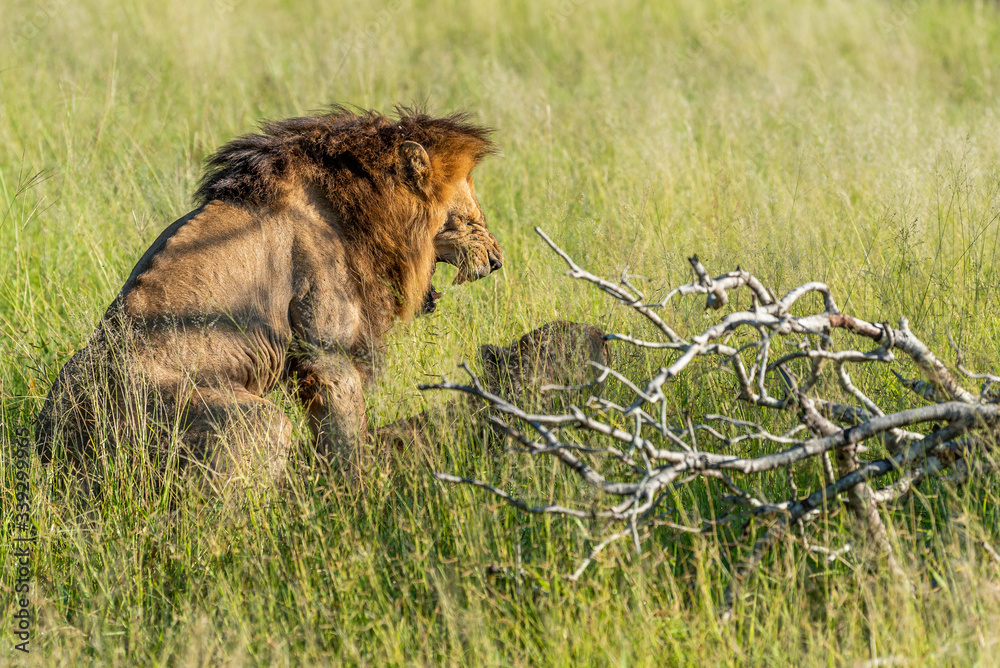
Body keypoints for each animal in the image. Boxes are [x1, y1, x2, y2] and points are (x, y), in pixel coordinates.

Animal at [37, 106, 503, 490]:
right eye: (468, 218)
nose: (498, 260)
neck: (360, 212)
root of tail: (48, 447)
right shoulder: (325, 352)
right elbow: (346, 435)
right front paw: (358, 493)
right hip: (250, 421)